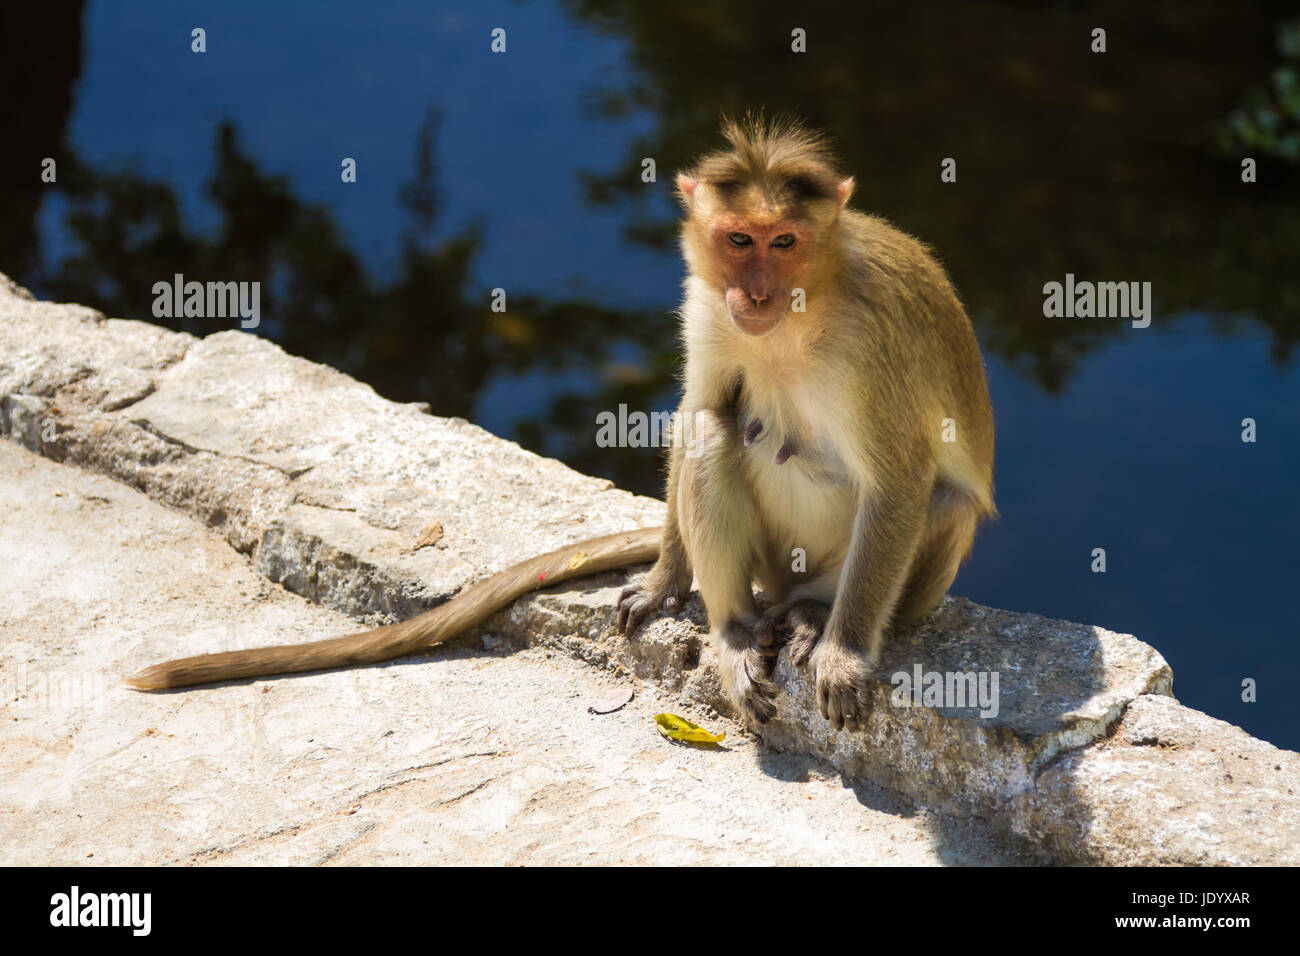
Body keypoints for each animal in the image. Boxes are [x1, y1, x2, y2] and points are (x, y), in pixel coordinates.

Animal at [127, 115, 993, 738]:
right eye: (740, 239)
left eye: (786, 241)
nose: (755, 291)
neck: (797, 313)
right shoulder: (707, 304)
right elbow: (699, 408)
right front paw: (664, 578)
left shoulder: (871, 340)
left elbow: (898, 480)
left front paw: (844, 654)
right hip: (771, 561)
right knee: (716, 432)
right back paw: (734, 637)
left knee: (937, 502)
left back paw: (814, 618)